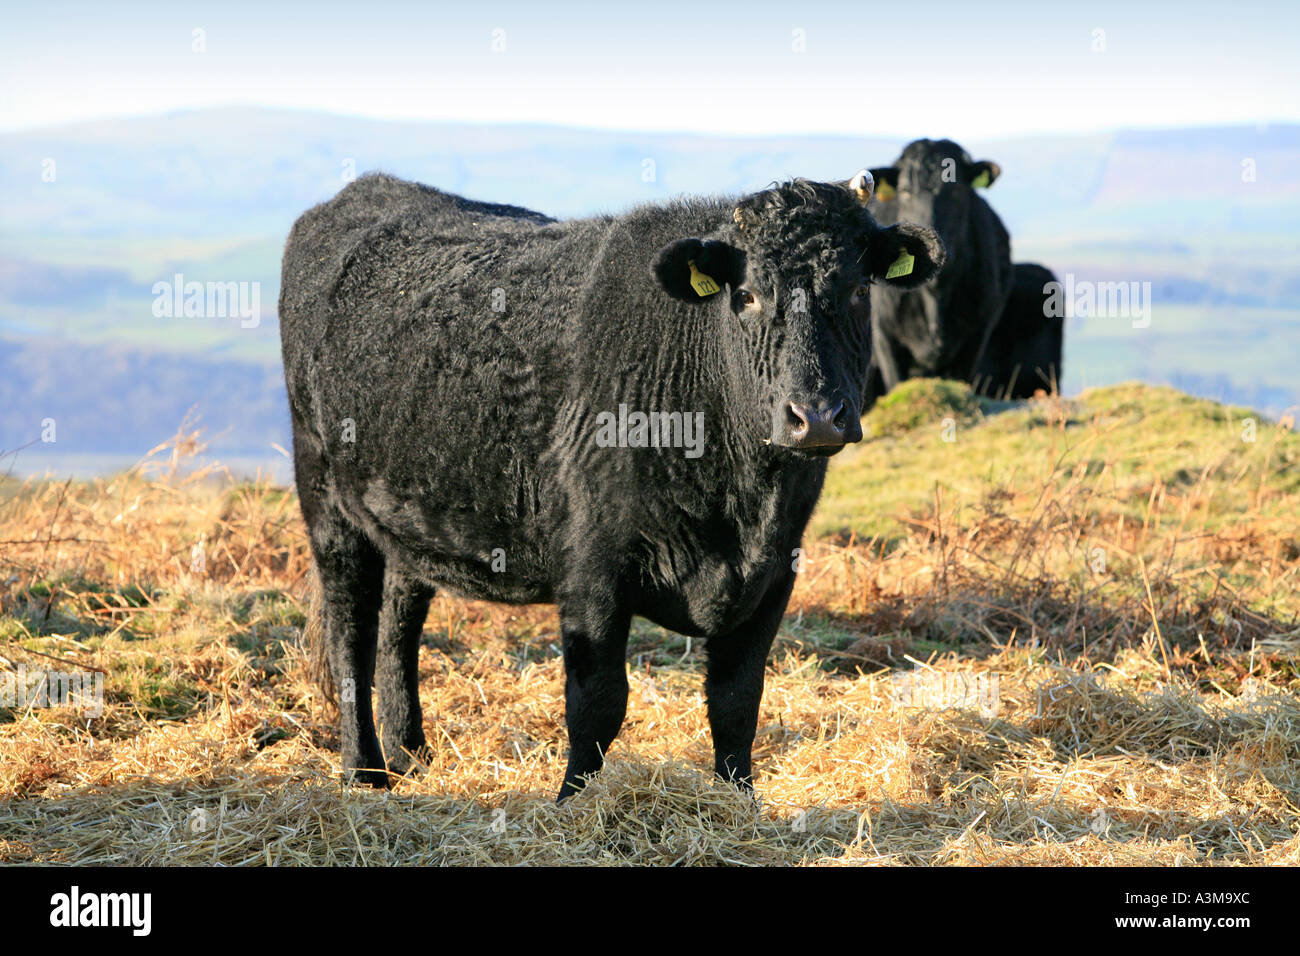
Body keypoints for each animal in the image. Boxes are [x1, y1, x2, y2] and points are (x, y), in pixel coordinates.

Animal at [279, 171, 945, 800]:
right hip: (325, 496)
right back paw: (364, 772)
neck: (743, 504)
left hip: (407, 510)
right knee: (350, 631)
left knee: (400, 620)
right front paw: (571, 806)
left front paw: (742, 804)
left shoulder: (777, 568)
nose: (817, 415)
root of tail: (364, 192)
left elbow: (737, 701)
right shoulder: (592, 566)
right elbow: (597, 702)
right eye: (748, 296)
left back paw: (410, 753)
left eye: (859, 291)